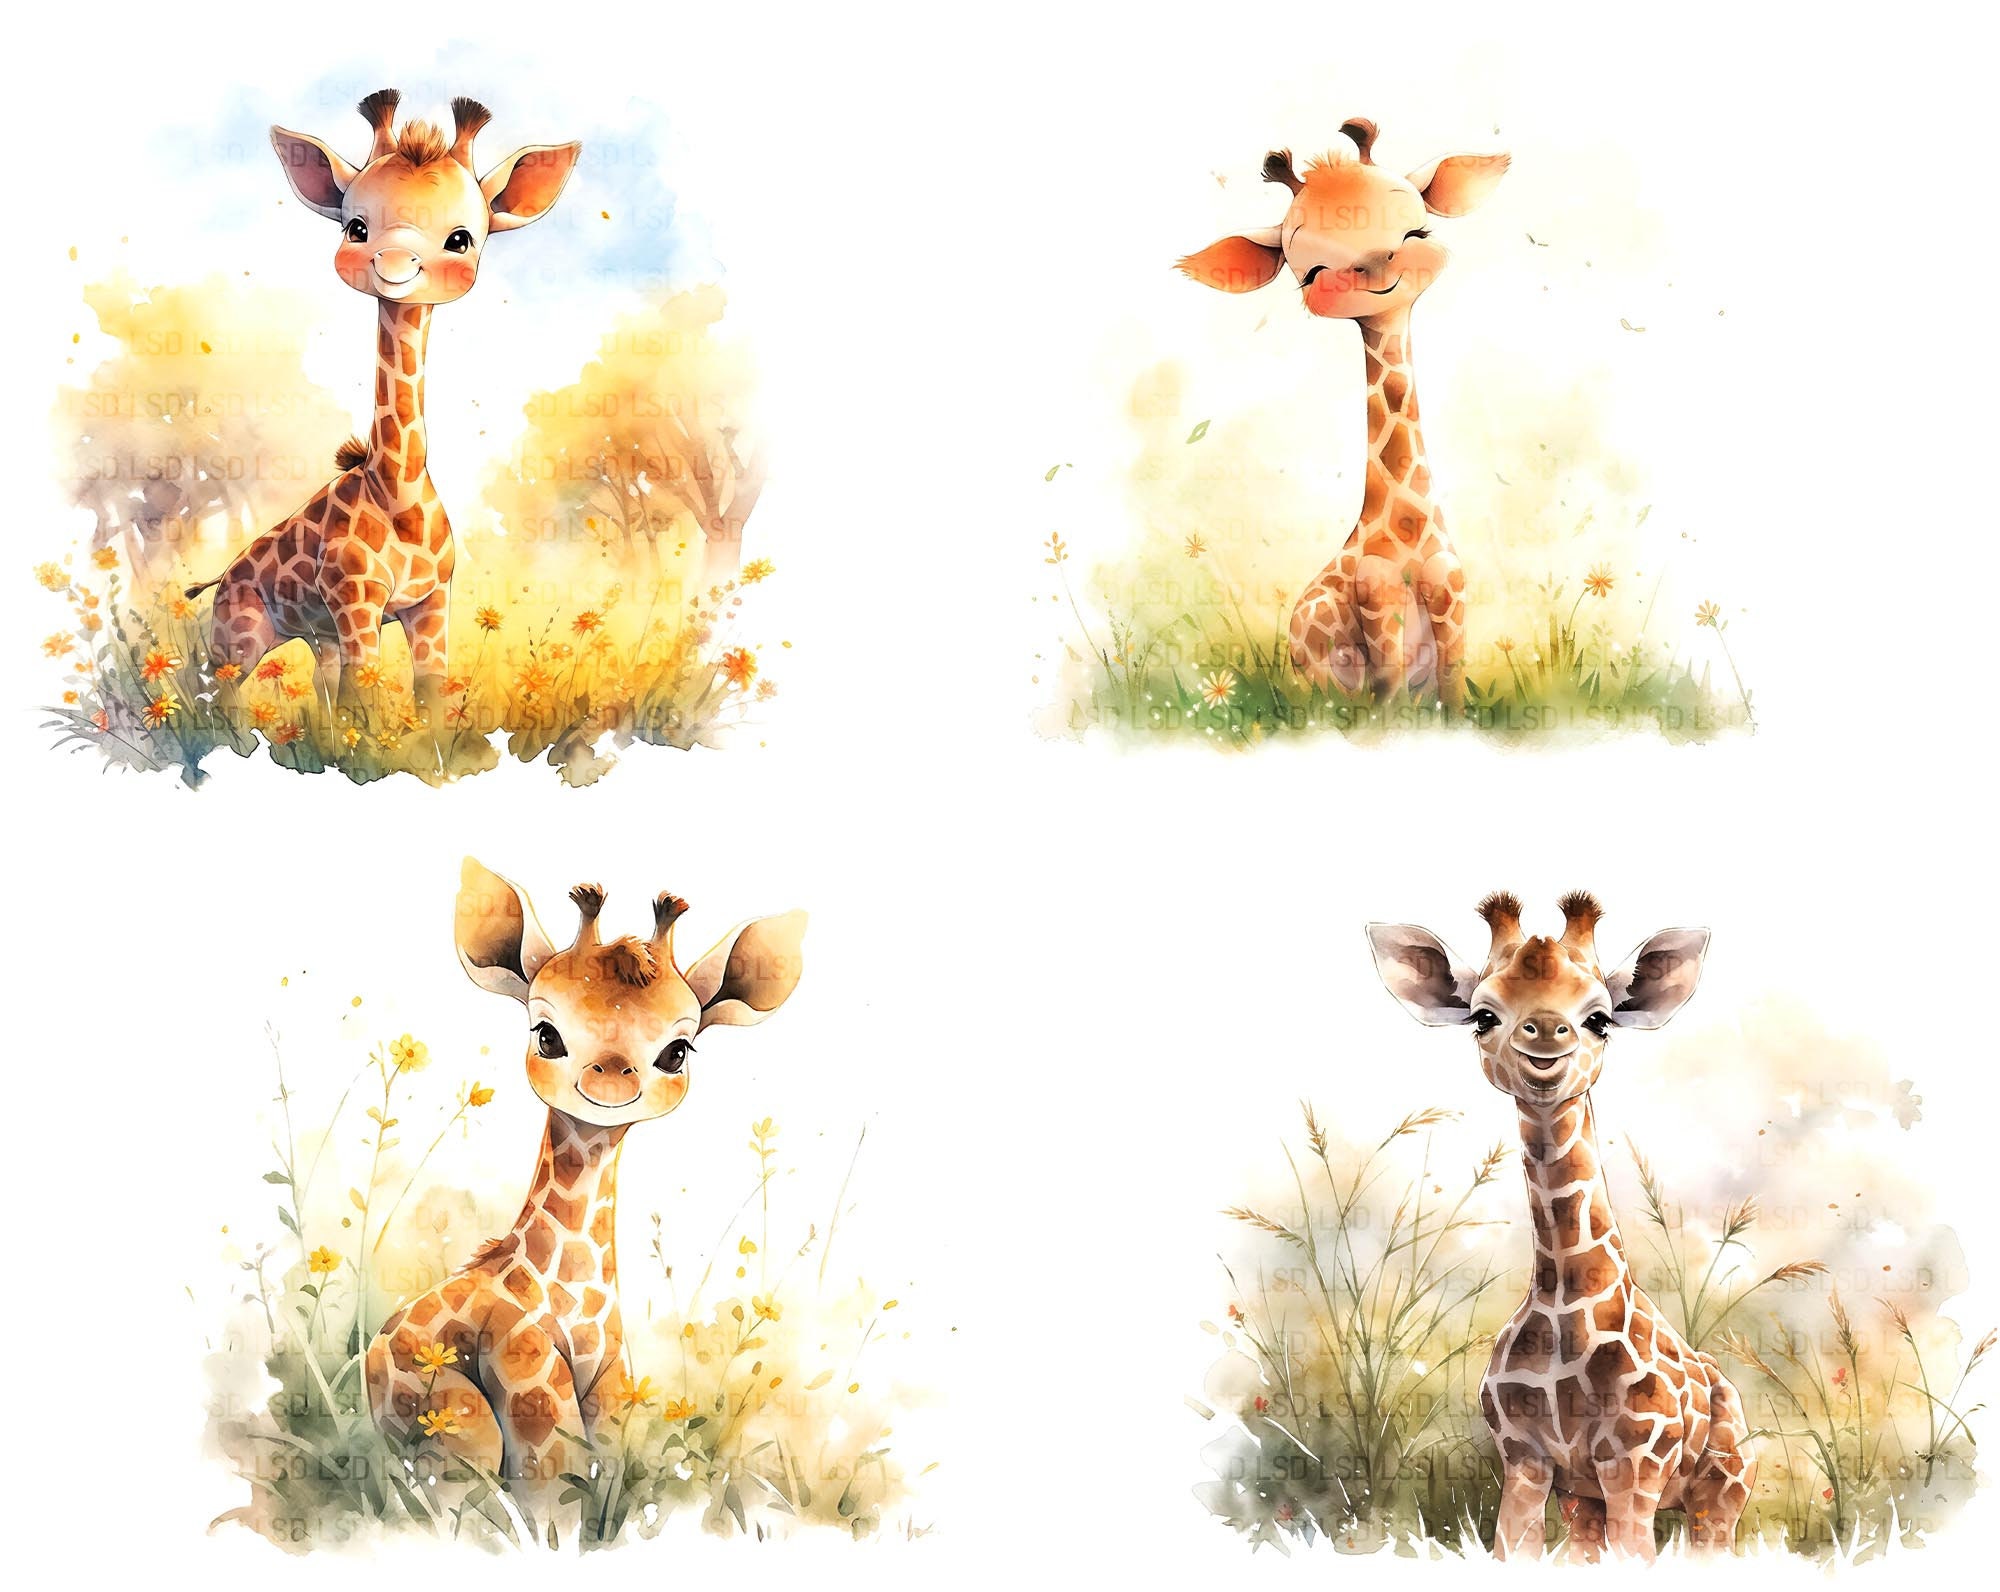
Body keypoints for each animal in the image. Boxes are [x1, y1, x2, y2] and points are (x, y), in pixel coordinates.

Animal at [186, 91, 580, 730]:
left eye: (461, 238)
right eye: (356, 225)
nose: (393, 268)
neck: (400, 495)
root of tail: (221, 576)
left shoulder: (430, 603)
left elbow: (426, 699)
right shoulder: (357, 603)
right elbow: (363, 704)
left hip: (312, 636)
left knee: (315, 692)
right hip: (238, 639)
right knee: (214, 698)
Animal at [364, 858, 806, 1485]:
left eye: (678, 1050)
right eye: (546, 1034)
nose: (611, 1082)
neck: (571, 1306)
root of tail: (374, 1351)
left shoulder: (613, 1395)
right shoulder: (529, 1386)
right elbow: (554, 1494)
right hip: (455, 1429)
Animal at [1177, 119, 1507, 710]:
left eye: (1417, 232)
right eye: (1311, 273)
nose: (1374, 267)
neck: (1408, 533)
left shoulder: (1452, 591)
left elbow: (1454, 686)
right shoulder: (1375, 599)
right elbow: (1388, 693)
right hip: (1315, 671)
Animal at [1365, 892, 1755, 1560]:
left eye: (1600, 1018)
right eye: (1482, 1016)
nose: (1547, 1036)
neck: (1563, 1302)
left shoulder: (1635, 1470)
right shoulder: (1528, 1463)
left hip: (1720, 1496)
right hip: (1584, 1504)